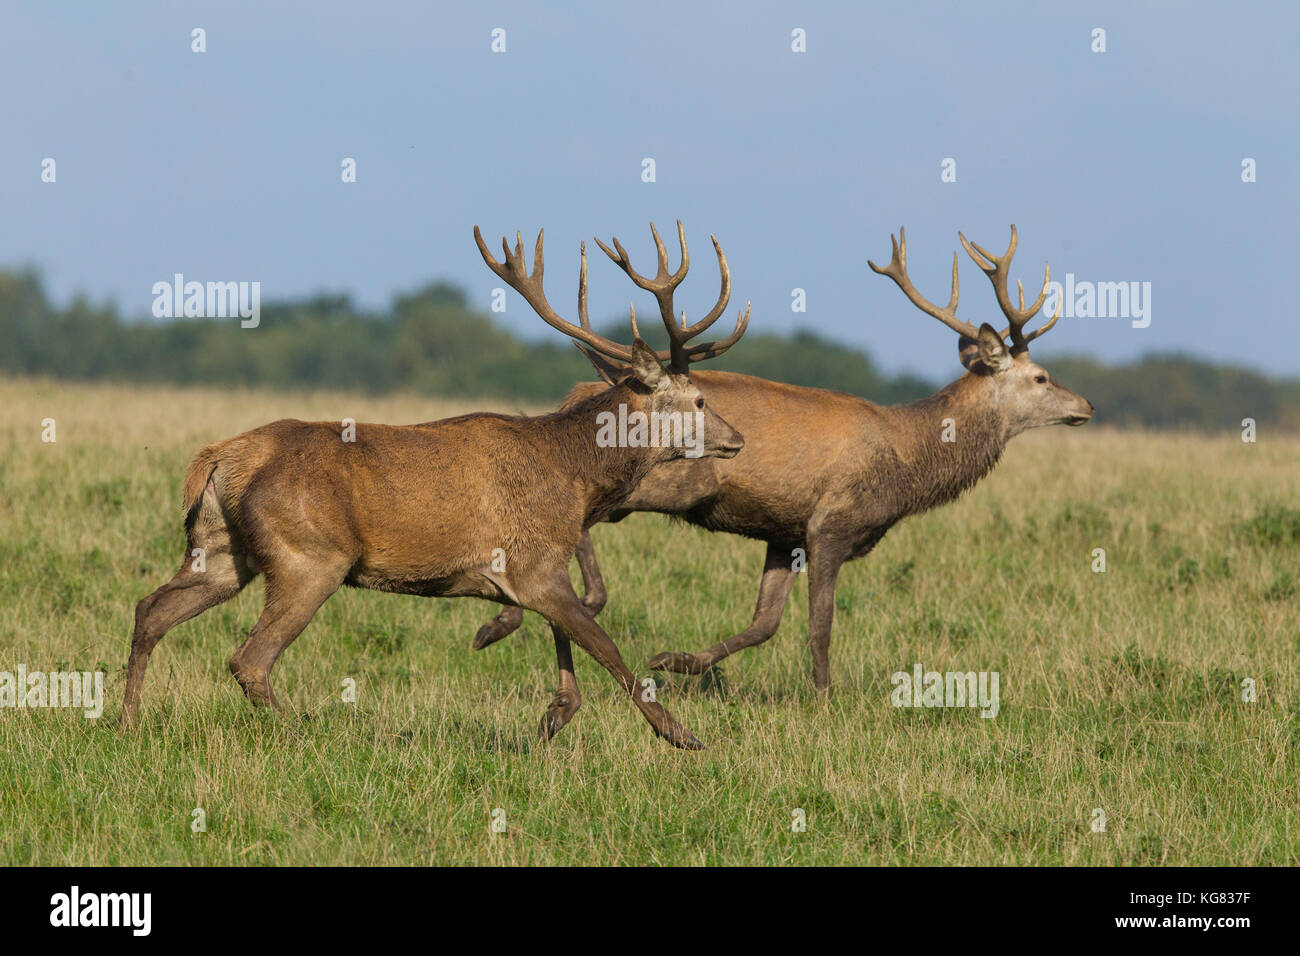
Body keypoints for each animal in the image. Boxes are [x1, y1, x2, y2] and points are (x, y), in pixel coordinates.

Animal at [120, 221, 750, 749]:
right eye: (699, 400)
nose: (738, 438)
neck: (575, 482)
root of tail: (221, 457)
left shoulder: (537, 568)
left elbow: (567, 637)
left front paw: (554, 716)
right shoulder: (535, 563)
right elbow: (606, 646)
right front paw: (682, 735)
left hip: (222, 549)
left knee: (150, 609)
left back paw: (127, 720)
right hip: (309, 556)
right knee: (249, 658)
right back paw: (307, 731)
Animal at [471, 226, 1094, 692]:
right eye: (1041, 377)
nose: (1086, 404)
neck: (907, 465)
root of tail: (578, 394)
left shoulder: (785, 531)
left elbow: (764, 623)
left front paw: (677, 661)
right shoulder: (832, 522)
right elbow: (819, 626)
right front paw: (824, 698)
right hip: (663, 483)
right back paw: (518, 616)